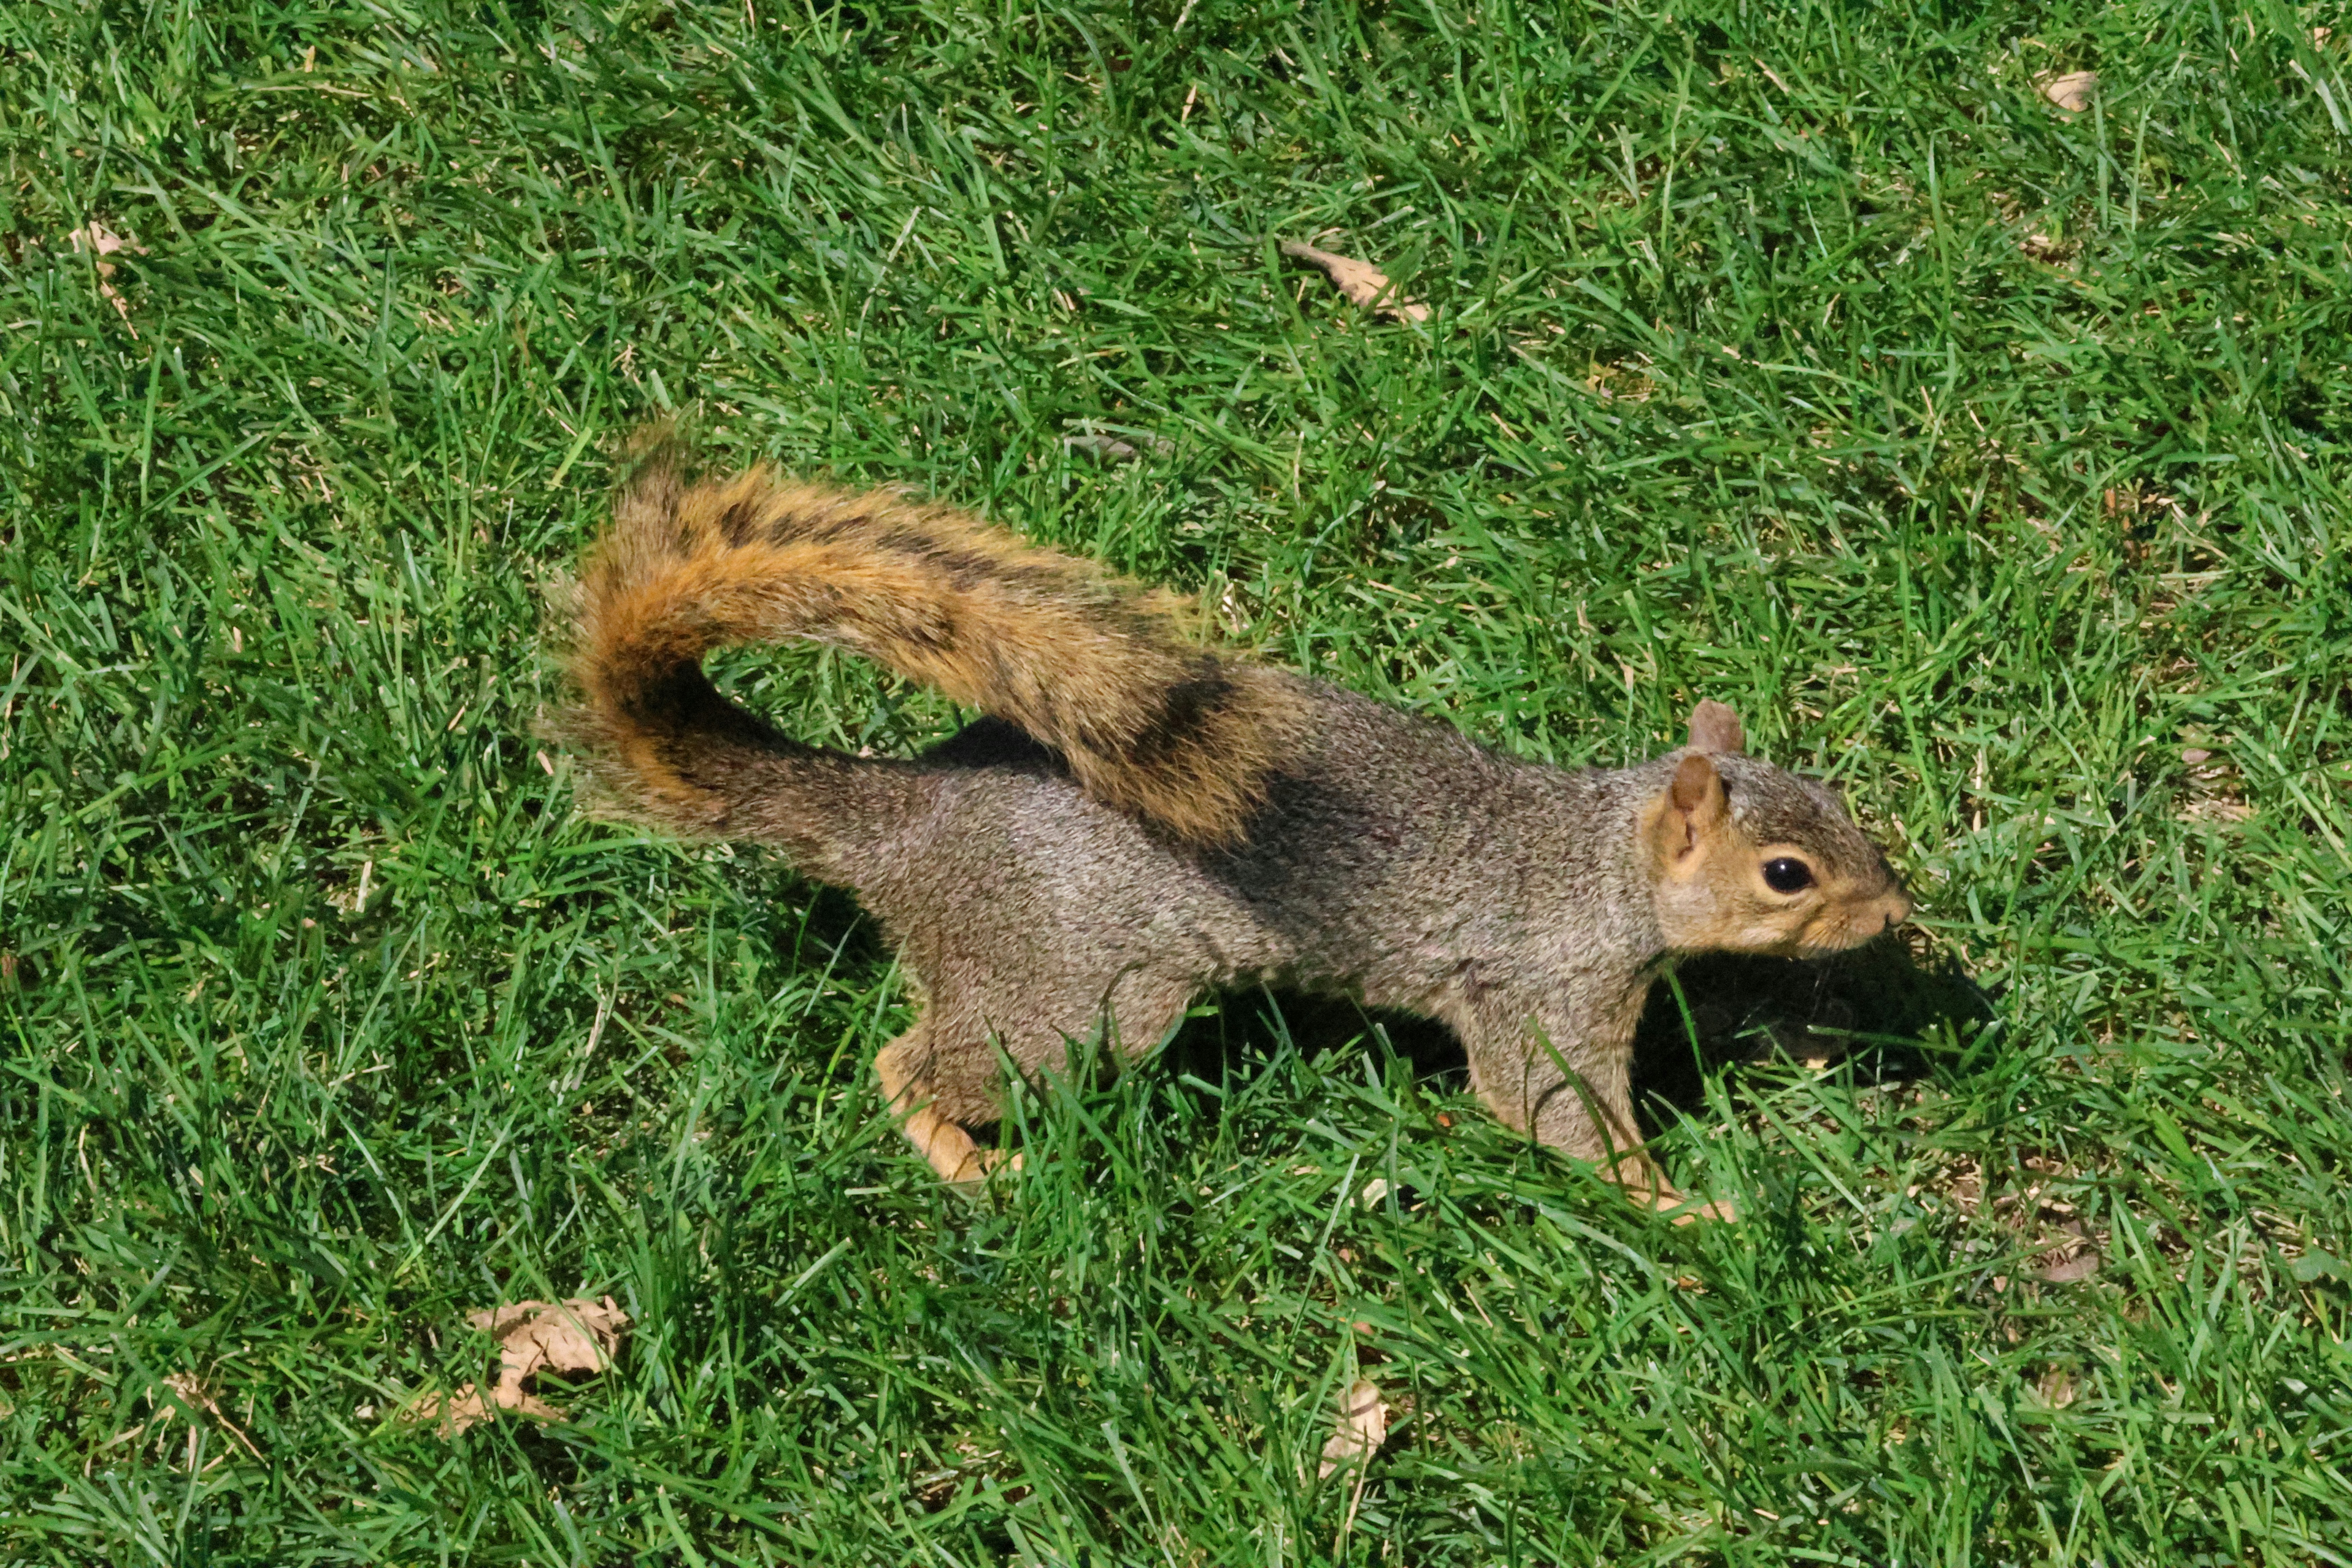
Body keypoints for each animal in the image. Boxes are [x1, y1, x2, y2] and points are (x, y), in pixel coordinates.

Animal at [554, 444, 1913, 1220]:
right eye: (1785, 873)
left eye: (1840, 806)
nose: (1895, 910)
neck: (1593, 863)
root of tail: (900, 821)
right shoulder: (1538, 988)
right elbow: (1550, 1110)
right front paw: (1690, 1211)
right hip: (1067, 996)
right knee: (911, 1062)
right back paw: (966, 1161)